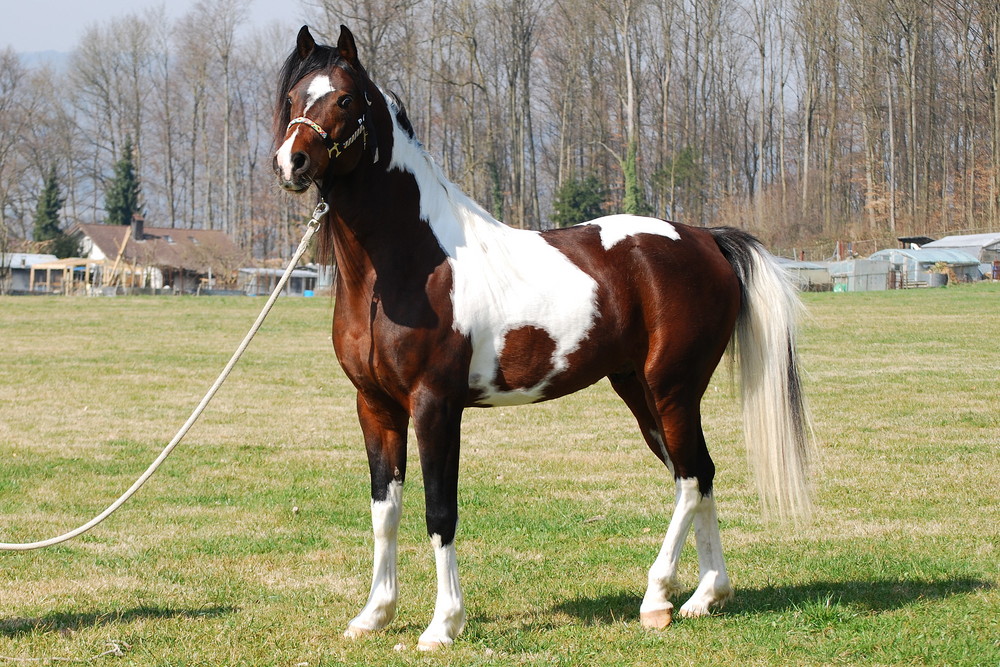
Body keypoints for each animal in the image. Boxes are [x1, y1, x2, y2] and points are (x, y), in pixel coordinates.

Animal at [272, 25, 812, 650]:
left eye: (344, 99)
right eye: (293, 98)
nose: (292, 161)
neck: (410, 265)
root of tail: (704, 238)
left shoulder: (435, 406)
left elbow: (439, 512)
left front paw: (442, 624)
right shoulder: (375, 406)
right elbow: (386, 511)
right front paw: (373, 615)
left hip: (673, 388)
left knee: (692, 477)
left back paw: (658, 599)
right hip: (639, 390)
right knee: (697, 475)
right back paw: (705, 596)